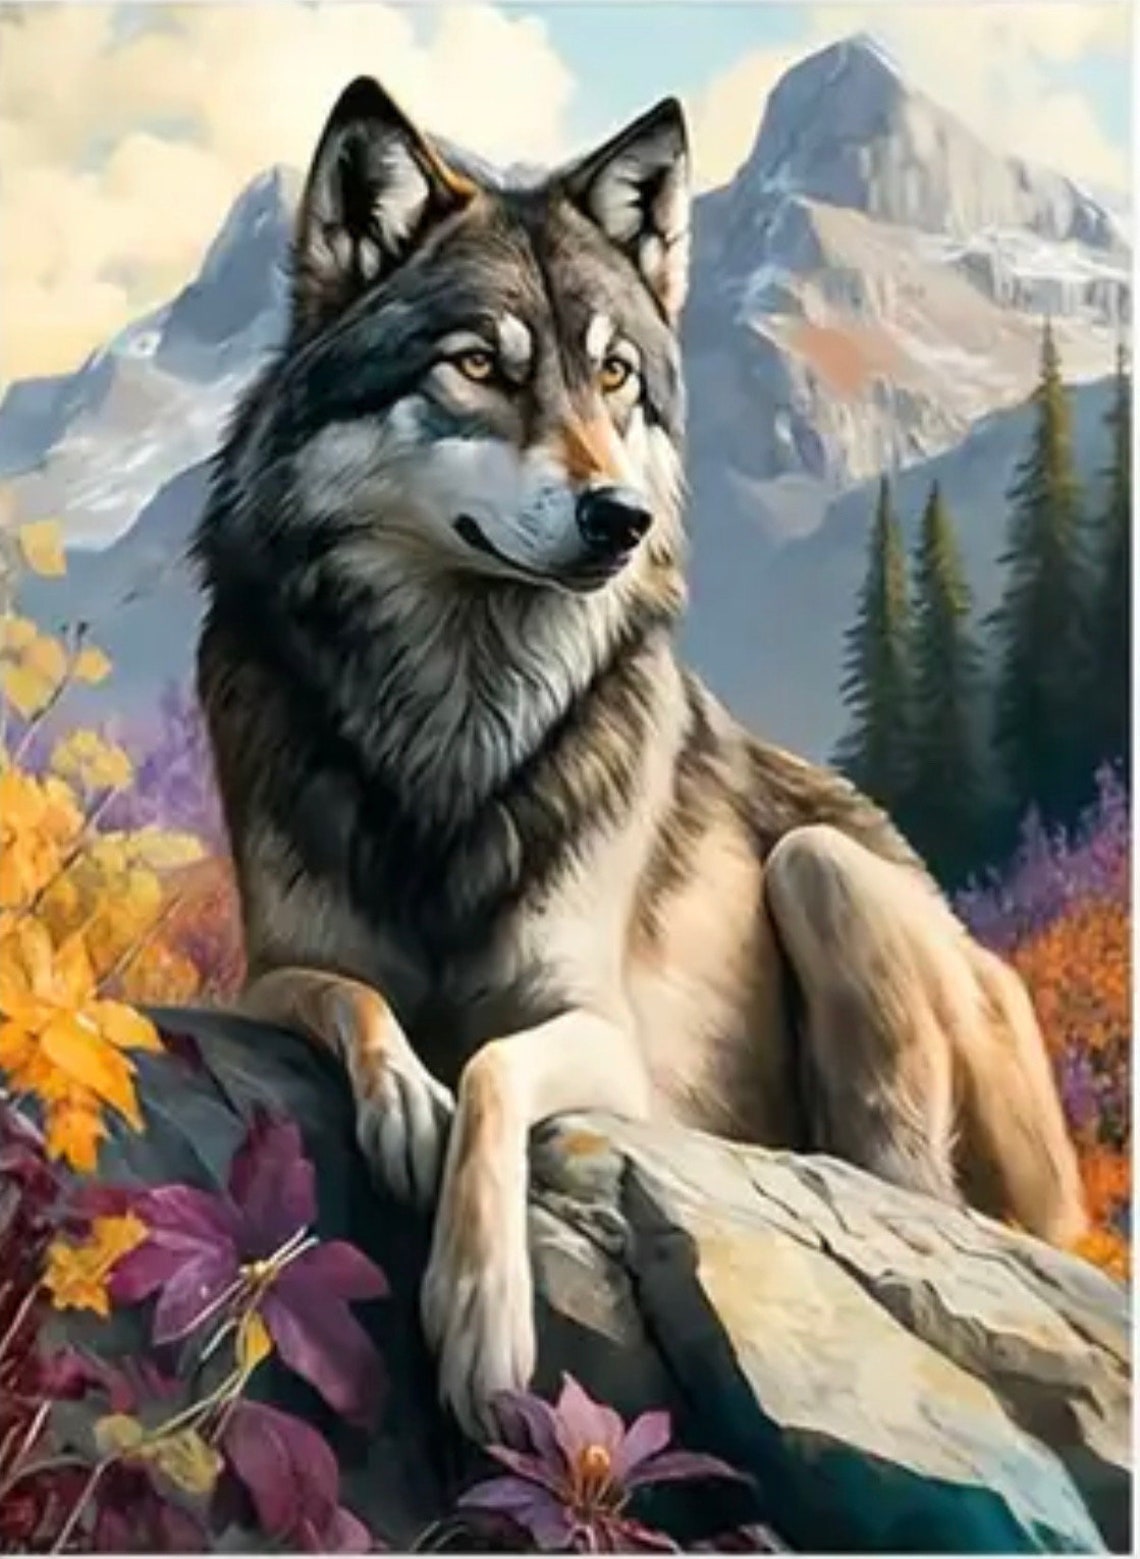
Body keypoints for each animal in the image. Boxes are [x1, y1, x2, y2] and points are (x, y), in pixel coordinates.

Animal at [193, 76, 1088, 1439]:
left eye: (614, 375)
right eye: (478, 366)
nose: (620, 517)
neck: (453, 719)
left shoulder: (603, 1036)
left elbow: (494, 1068)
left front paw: (483, 1320)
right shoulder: (267, 973)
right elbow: (356, 1000)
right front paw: (402, 1098)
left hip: (824, 871)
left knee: (913, 1196)